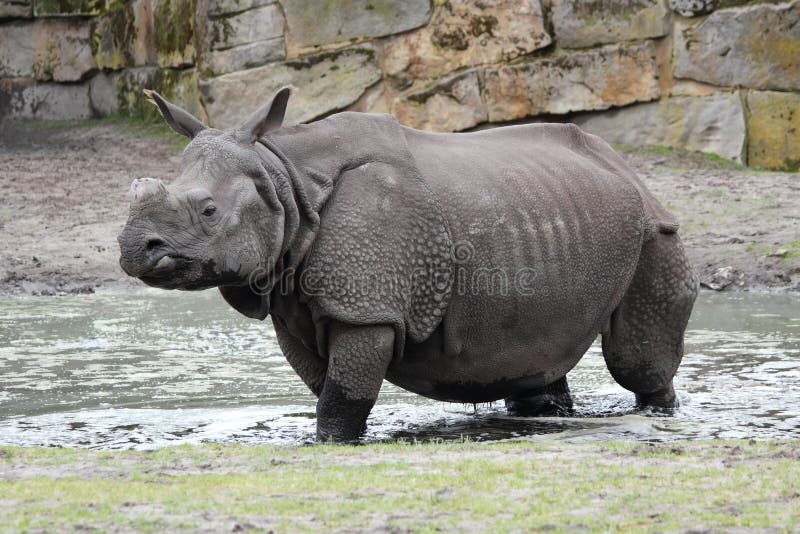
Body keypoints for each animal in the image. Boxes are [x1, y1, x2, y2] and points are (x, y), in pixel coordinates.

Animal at [118, 88, 698, 442]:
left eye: (208, 211)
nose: (132, 249)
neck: (283, 180)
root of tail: (628, 168)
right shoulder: (293, 302)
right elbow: (330, 387)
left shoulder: (366, 309)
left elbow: (342, 396)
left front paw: (329, 444)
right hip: (552, 212)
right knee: (539, 351)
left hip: (653, 229)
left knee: (635, 360)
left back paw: (654, 415)